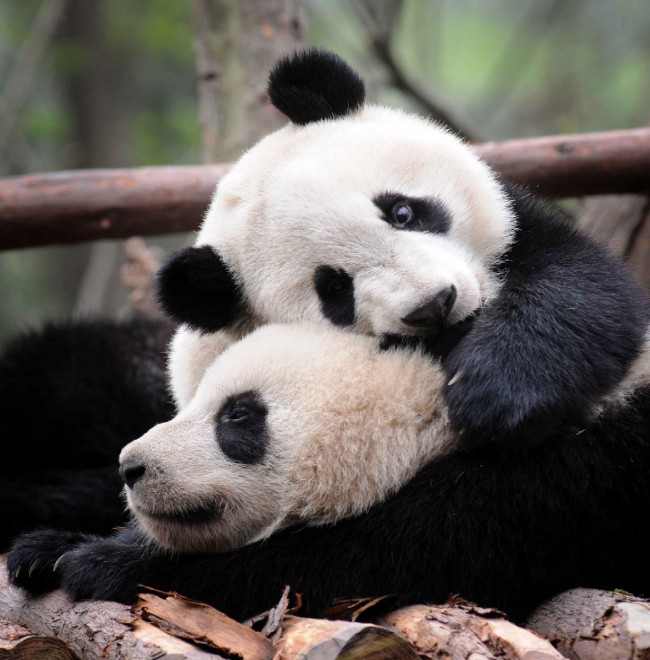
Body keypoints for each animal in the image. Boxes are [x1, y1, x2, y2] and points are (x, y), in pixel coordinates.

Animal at [7, 321, 650, 623]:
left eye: (239, 414)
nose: (131, 466)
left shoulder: (559, 485)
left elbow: (355, 566)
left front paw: (103, 564)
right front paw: (46, 549)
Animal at [157, 49, 649, 451]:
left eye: (402, 212)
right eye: (335, 290)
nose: (435, 304)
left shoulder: (525, 230)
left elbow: (581, 288)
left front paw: (497, 391)